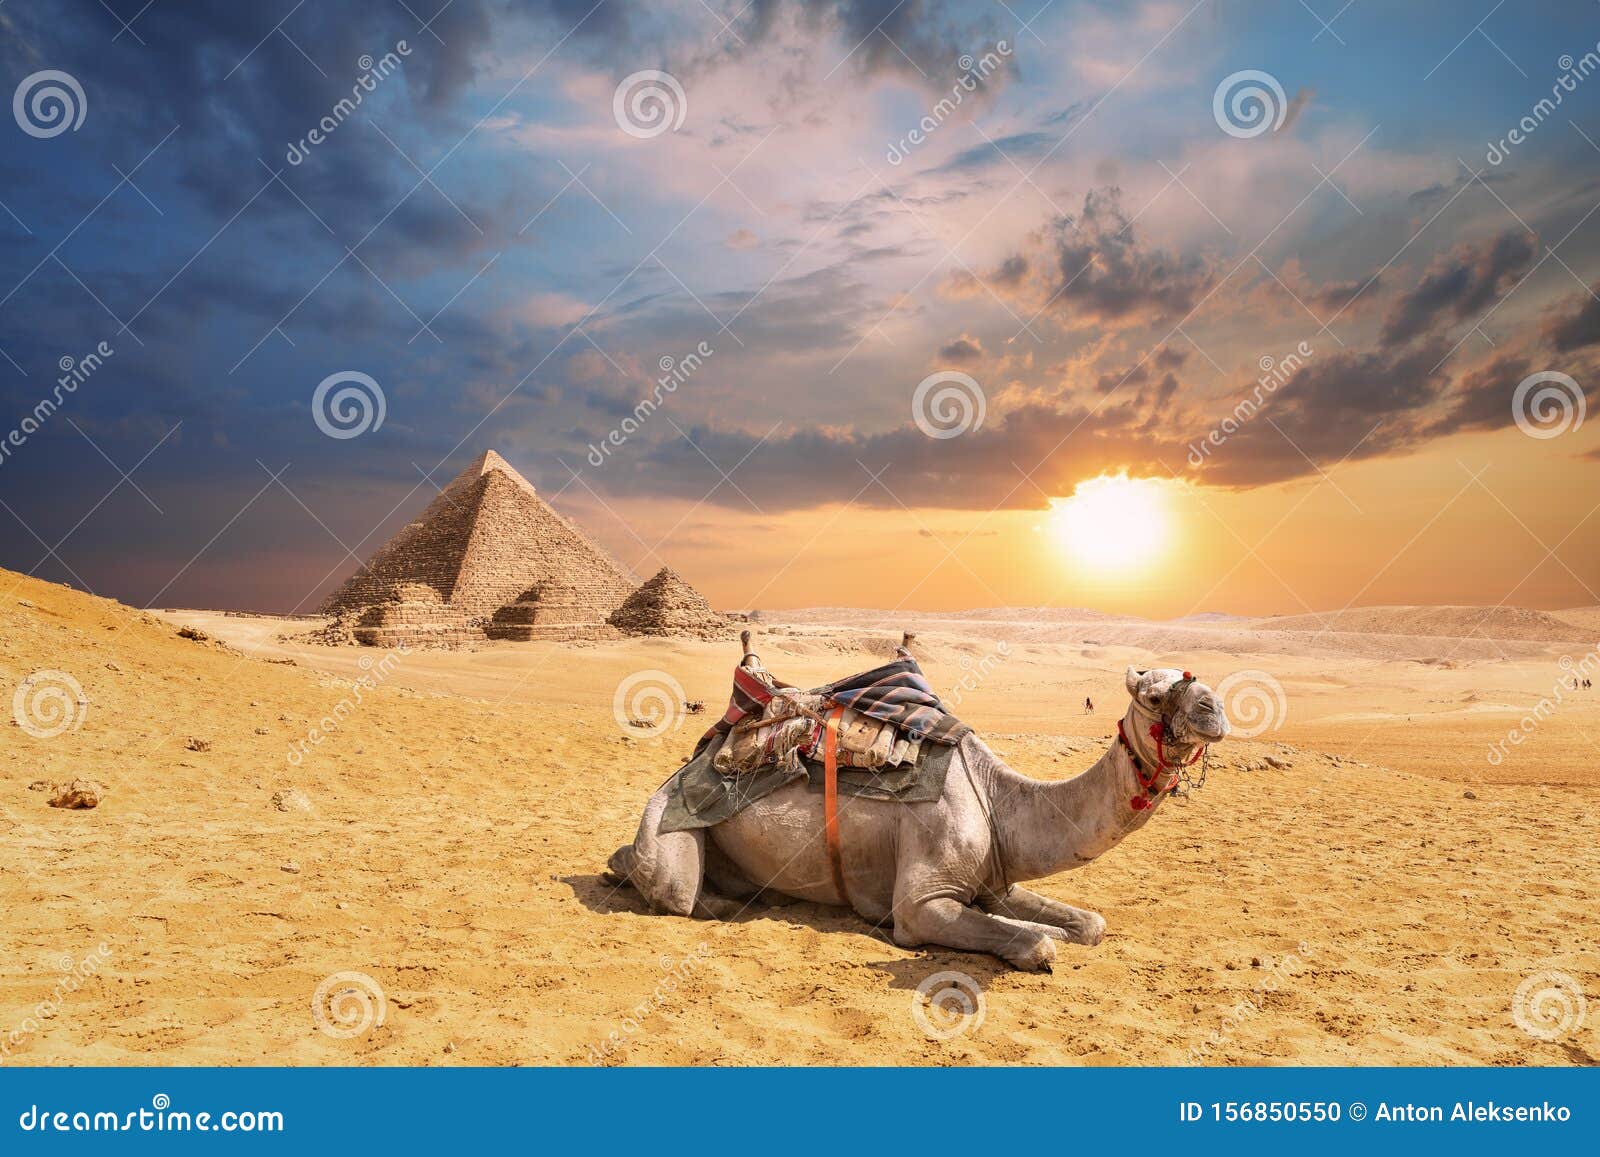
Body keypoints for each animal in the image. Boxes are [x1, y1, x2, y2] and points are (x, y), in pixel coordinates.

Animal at [606, 664, 1230, 971]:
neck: (997, 799)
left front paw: (1063, 926)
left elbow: (1090, 925)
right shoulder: (922, 899)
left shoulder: (995, 879)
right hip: (669, 821)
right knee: (675, 889)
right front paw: (1040, 939)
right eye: (1153, 697)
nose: (1214, 708)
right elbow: (1035, 942)